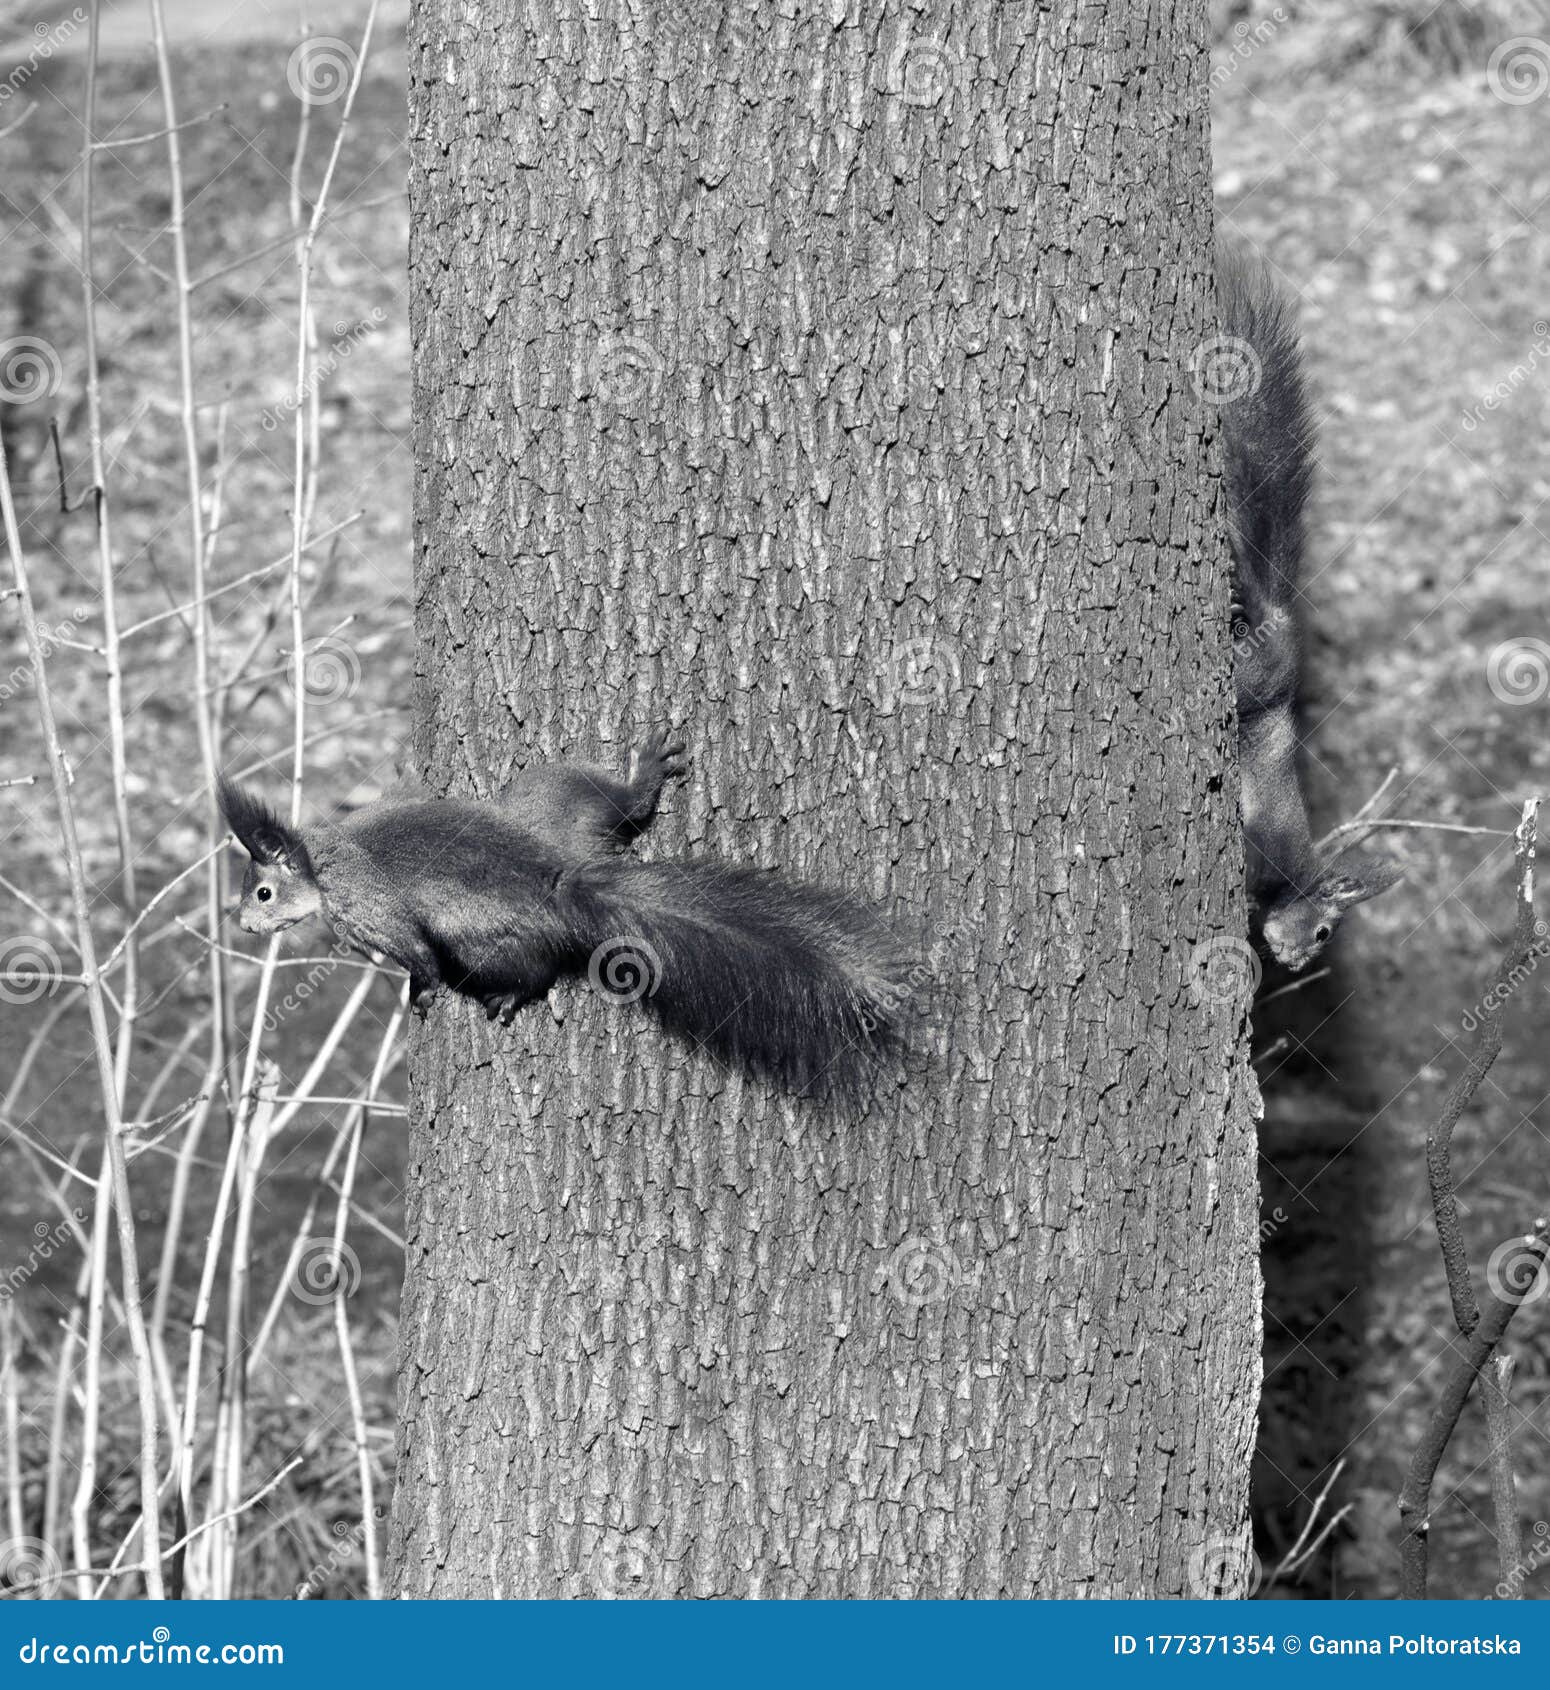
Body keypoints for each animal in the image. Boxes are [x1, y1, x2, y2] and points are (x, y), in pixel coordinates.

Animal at [218, 729, 914, 1096]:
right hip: (555, 799)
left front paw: (420, 992)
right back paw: (643, 776)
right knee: (619, 806)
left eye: (262, 894)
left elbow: (416, 956)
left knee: (534, 967)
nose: (243, 925)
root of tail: (558, 881)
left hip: (479, 935)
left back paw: (512, 995)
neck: (325, 857)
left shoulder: (369, 909)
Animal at [1218, 247, 1402, 971]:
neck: (1294, 879)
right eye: (1325, 930)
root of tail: (1281, 618)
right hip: (1254, 677)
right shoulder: (1269, 854)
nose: (1296, 964)